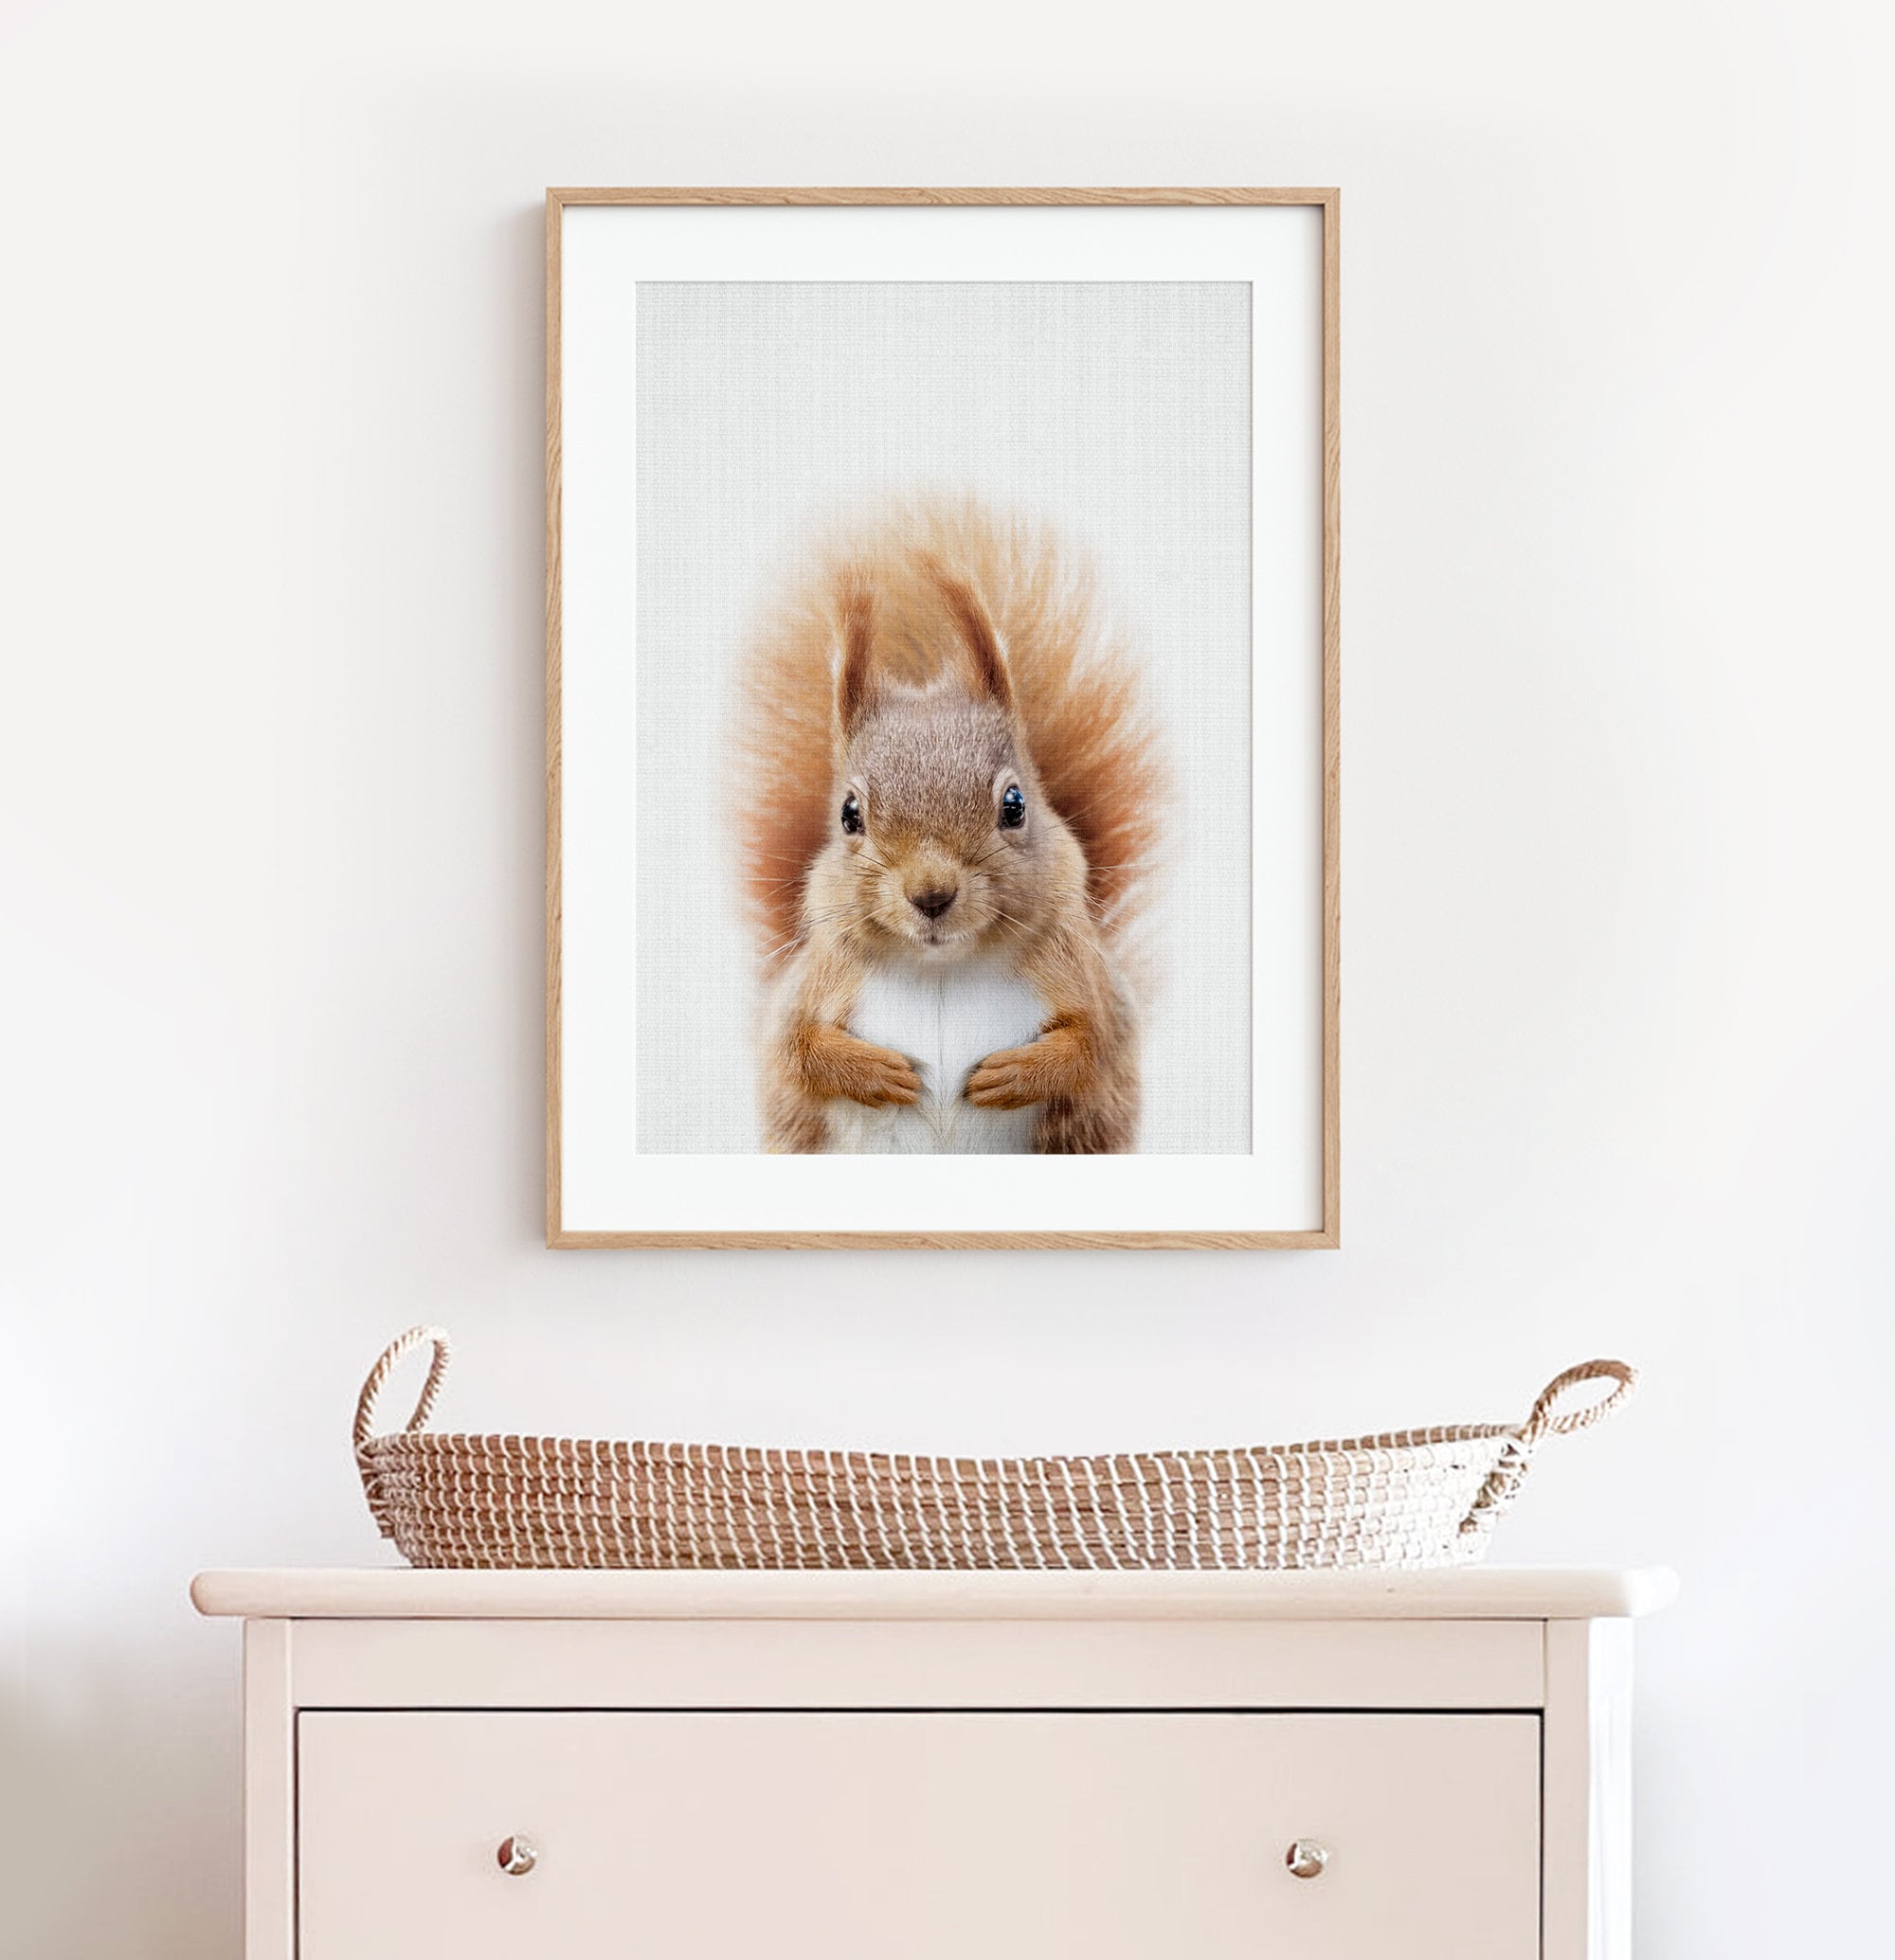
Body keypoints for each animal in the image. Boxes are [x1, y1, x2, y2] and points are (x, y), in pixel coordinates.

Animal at [733, 499, 1161, 1154]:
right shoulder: (815, 983)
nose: (931, 895)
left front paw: (1019, 1072)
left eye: (1015, 804)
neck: (941, 968)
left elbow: (1096, 1044)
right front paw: (874, 1071)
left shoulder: (1087, 980)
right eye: (849, 814)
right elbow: (794, 1049)